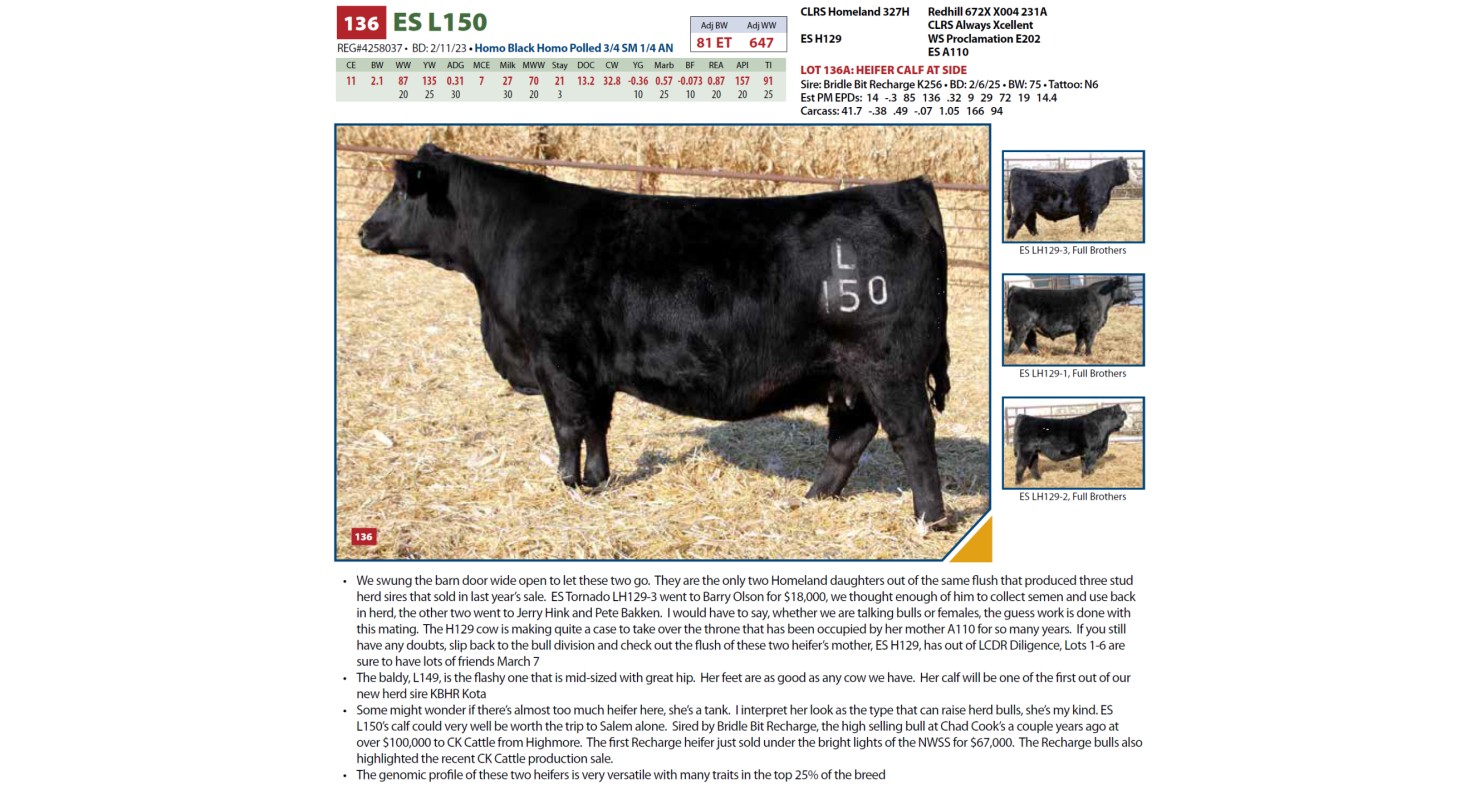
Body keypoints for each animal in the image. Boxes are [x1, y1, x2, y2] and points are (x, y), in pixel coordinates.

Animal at [358, 144, 953, 526]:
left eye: (401, 191)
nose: (364, 231)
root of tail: (905, 190)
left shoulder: (555, 358)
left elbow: (567, 426)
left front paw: (568, 483)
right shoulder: (593, 369)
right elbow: (597, 425)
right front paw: (598, 478)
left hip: (890, 368)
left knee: (912, 435)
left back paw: (930, 518)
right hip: (847, 376)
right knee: (851, 437)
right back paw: (813, 497)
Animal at [1004, 276, 1135, 356]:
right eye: (1125, 286)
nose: (1134, 295)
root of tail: (1016, 288)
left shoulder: (1081, 328)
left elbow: (1080, 341)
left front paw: (1077, 354)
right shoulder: (1091, 326)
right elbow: (1089, 340)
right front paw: (1089, 354)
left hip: (1029, 327)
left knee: (1030, 340)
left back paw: (1036, 353)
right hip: (1021, 326)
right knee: (1016, 339)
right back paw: (1013, 354)